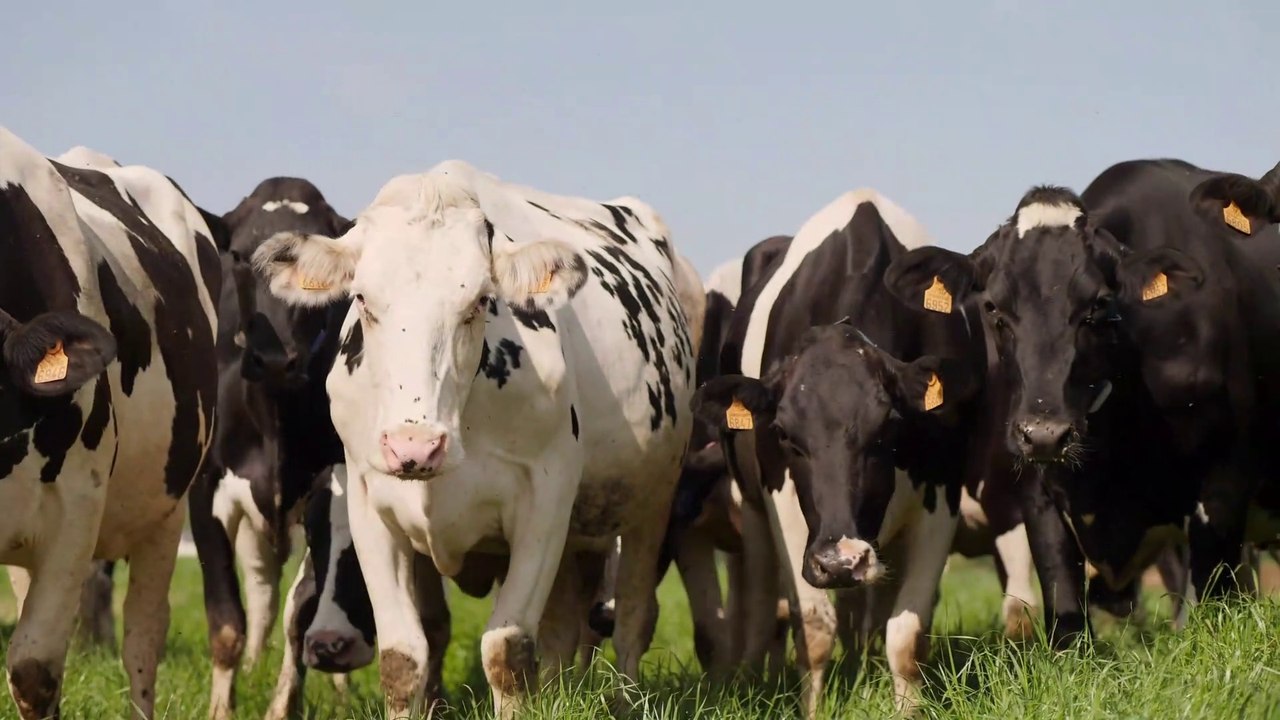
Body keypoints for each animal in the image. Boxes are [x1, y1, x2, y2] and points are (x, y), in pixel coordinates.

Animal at [184, 177, 354, 720]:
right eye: (239, 254)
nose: (275, 357)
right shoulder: (207, 491)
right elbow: (226, 620)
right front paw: (222, 707)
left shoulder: (334, 492)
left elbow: (302, 611)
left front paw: (283, 705)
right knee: (259, 591)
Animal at [250, 160, 699, 718]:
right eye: (362, 299)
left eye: (479, 302)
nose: (415, 446)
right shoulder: (369, 503)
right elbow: (404, 658)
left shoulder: (545, 502)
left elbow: (507, 651)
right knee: (562, 628)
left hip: (651, 503)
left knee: (633, 617)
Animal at [693, 189, 985, 716]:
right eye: (785, 434)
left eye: (887, 426)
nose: (838, 561)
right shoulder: (785, 506)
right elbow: (813, 631)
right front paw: (812, 708)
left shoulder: (942, 498)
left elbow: (906, 636)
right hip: (754, 510)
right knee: (763, 600)